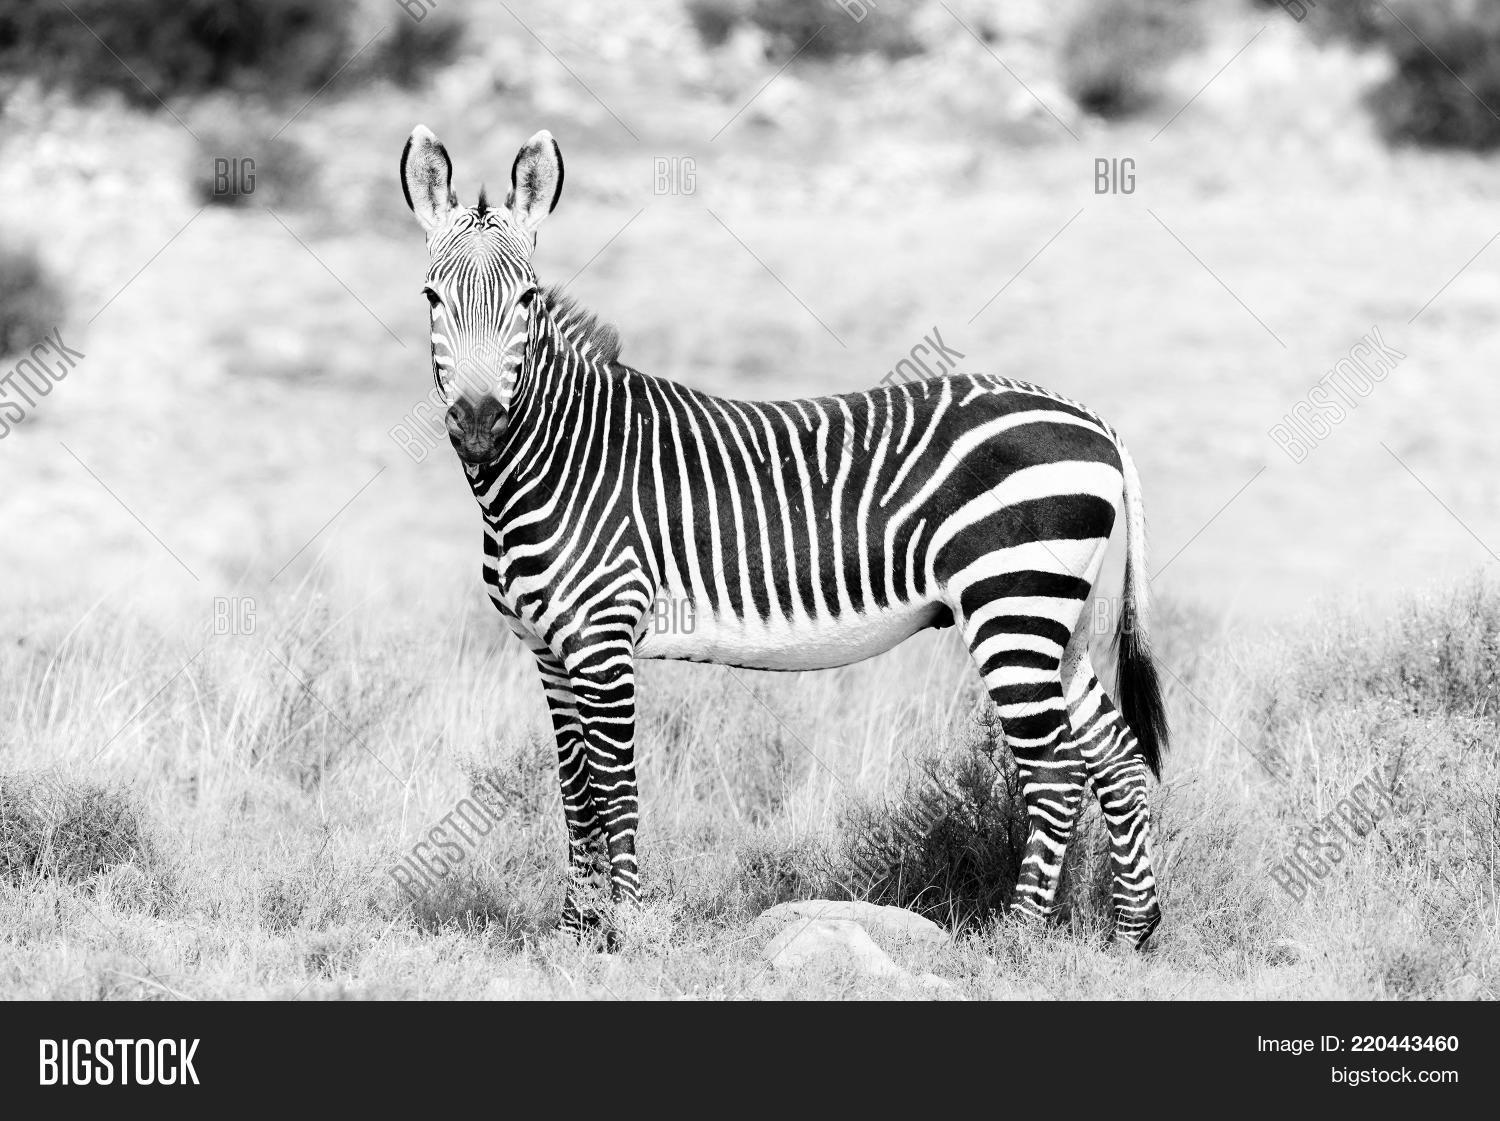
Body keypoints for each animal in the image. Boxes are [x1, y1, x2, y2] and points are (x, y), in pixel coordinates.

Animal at [400, 124, 1171, 947]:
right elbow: (575, 794)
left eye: (527, 299)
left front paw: (626, 931)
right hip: (1061, 617)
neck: (556, 457)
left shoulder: (603, 640)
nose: (480, 427)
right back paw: (1134, 932)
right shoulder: (548, 649)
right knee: (1117, 759)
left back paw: (1016, 938)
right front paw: (577, 930)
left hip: (1012, 605)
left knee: (1056, 771)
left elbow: (614, 789)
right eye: (431, 297)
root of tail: (1095, 423)